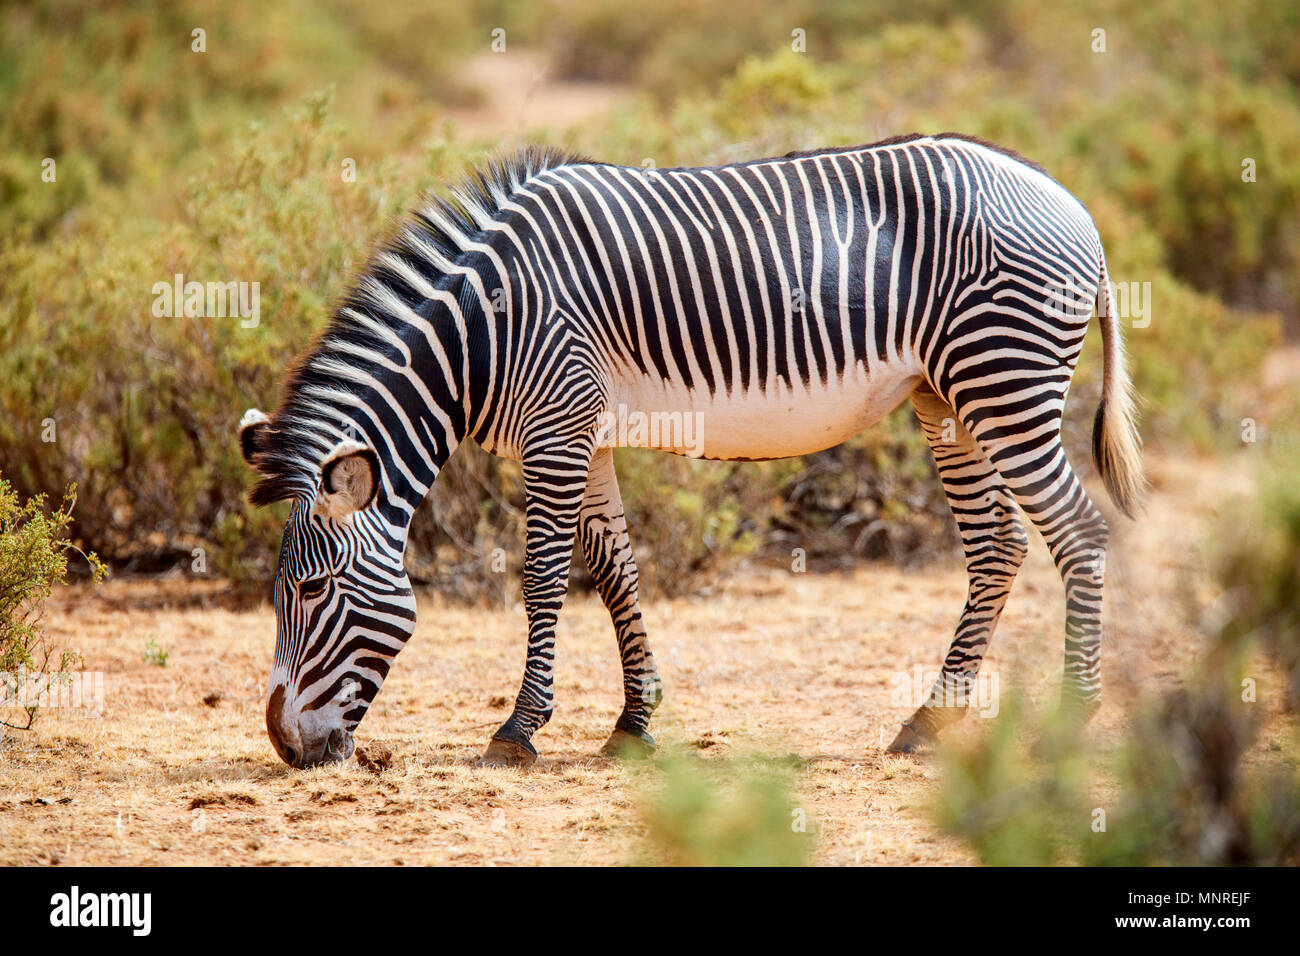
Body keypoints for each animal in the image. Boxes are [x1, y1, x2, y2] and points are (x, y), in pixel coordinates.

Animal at [239, 134, 1143, 768]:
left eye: (313, 590)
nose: (285, 746)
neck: (481, 333)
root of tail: (1071, 203)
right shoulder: (588, 432)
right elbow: (614, 572)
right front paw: (633, 722)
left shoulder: (556, 427)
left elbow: (543, 576)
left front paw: (518, 730)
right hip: (945, 397)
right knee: (999, 545)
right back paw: (929, 718)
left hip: (1003, 379)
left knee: (1079, 534)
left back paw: (1071, 714)